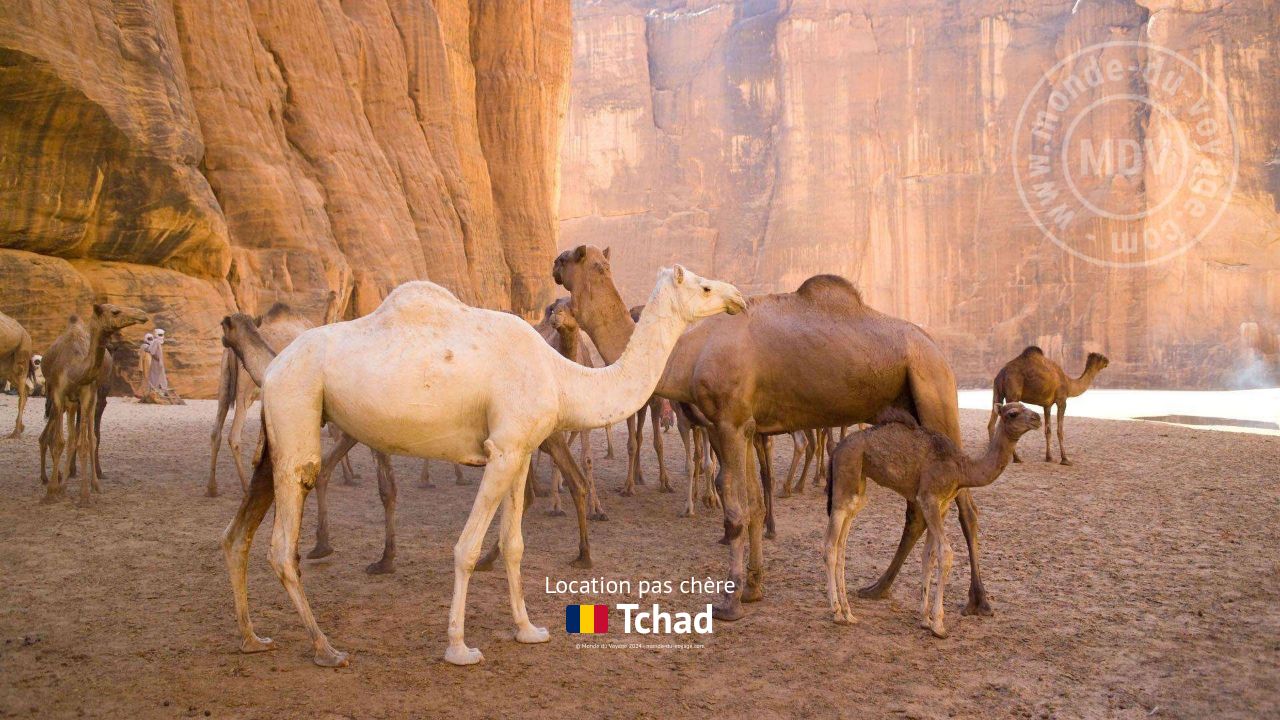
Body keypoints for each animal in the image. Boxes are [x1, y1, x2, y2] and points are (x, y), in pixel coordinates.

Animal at [0, 308, 33, 438]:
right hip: (7, 369)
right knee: (26, 390)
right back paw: (20, 428)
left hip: (21, 359)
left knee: (23, 392)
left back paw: (16, 432)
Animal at [39, 304, 146, 502]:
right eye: (115, 311)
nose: (142, 315)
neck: (74, 369)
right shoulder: (58, 394)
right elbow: (59, 442)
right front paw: (52, 491)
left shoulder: (89, 395)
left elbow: (86, 441)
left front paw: (84, 494)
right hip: (66, 402)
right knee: (61, 437)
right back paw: (58, 481)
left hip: (81, 402)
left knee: (84, 438)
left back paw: (84, 483)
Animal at [218, 265, 742, 666]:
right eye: (703, 287)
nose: (738, 297)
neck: (561, 375)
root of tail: (274, 365)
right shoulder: (503, 448)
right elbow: (467, 547)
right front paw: (458, 647)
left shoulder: (521, 449)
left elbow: (513, 545)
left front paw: (528, 629)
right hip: (297, 409)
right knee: (282, 543)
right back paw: (326, 648)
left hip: (278, 429)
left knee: (235, 534)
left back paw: (251, 638)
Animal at [555, 244, 983, 617]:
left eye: (575, 256)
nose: (555, 264)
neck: (688, 354)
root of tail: (938, 351)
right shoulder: (744, 427)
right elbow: (756, 506)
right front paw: (753, 587)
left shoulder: (727, 422)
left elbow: (734, 509)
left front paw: (729, 602)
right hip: (909, 415)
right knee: (917, 509)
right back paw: (878, 587)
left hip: (935, 394)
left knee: (965, 504)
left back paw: (977, 600)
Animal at [829, 399, 1039, 635]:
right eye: (1013, 413)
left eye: (1025, 406)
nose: (1037, 418)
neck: (961, 469)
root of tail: (837, 449)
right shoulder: (928, 498)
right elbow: (945, 553)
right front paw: (938, 624)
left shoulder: (942, 506)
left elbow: (927, 556)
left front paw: (925, 619)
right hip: (845, 477)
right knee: (830, 544)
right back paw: (837, 613)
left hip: (857, 485)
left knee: (842, 543)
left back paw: (848, 613)